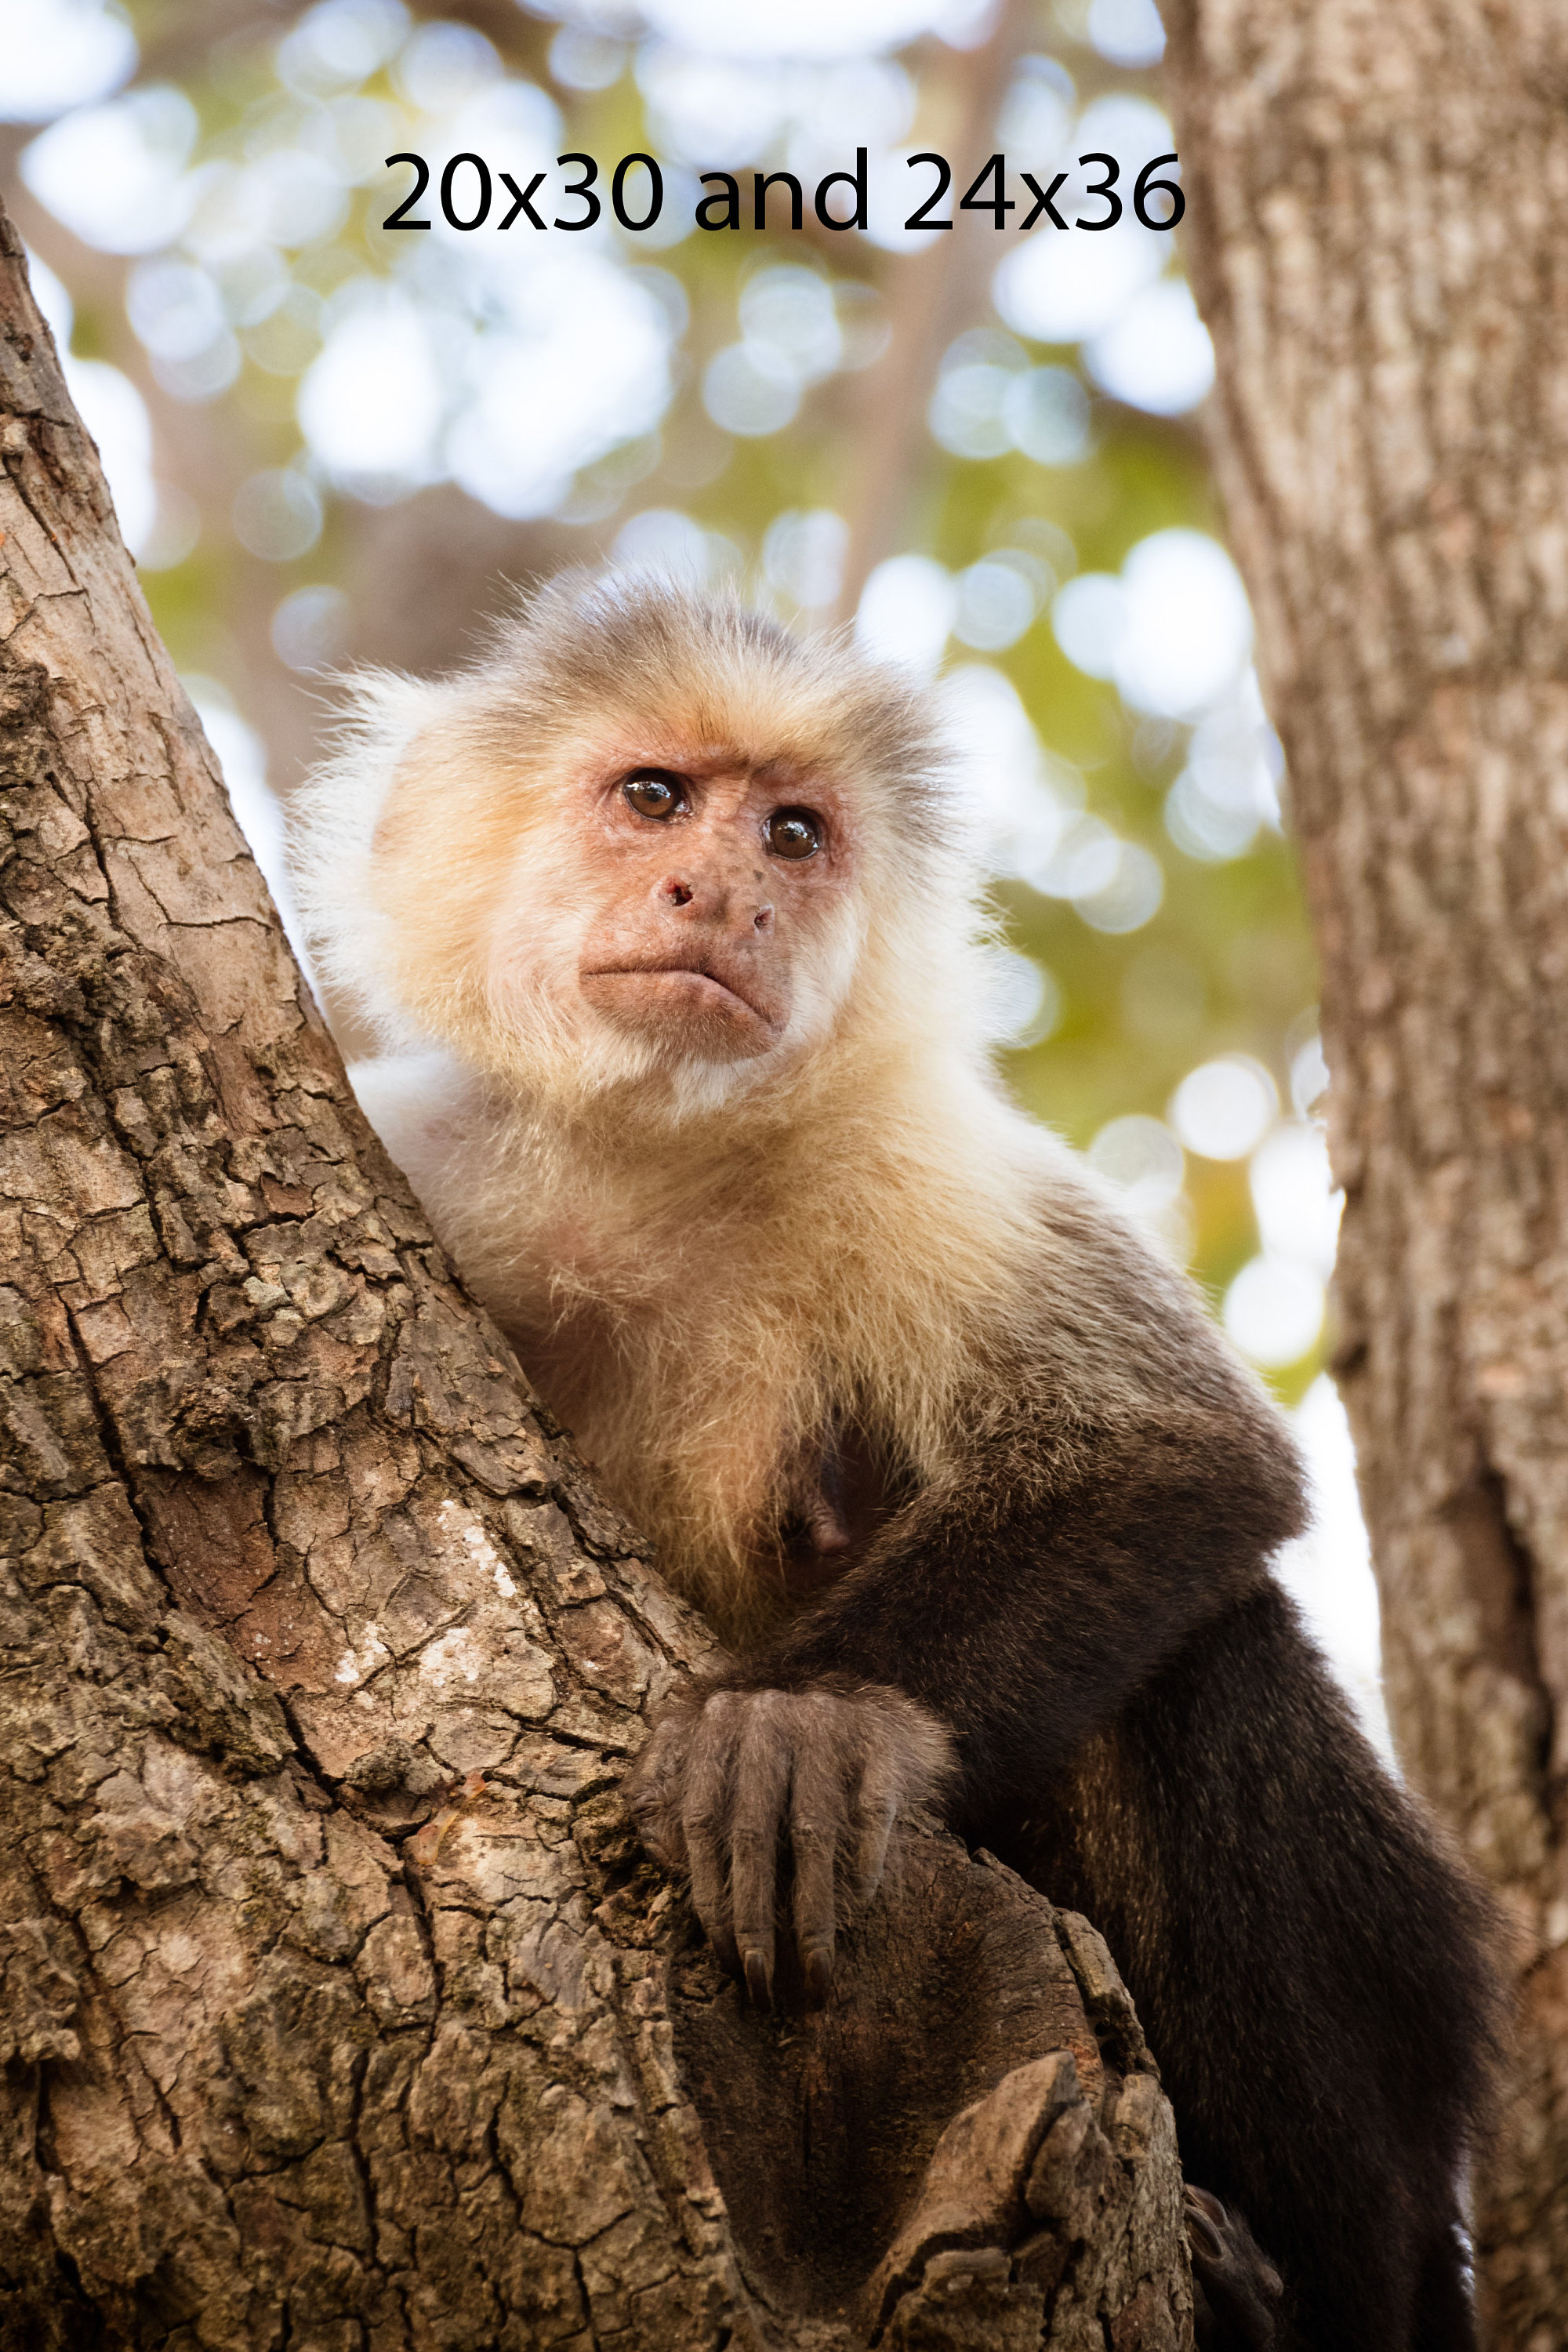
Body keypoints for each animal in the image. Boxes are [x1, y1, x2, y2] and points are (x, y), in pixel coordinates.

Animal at [289, 572, 1504, 2352]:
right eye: (653, 797)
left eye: (794, 833)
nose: (721, 890)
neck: (645, 1168)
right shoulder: (430, 1158)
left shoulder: (920, 1157)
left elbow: (1180, 1454)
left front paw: (808, 1725)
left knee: (1214, 1660)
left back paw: (1308, 2280)